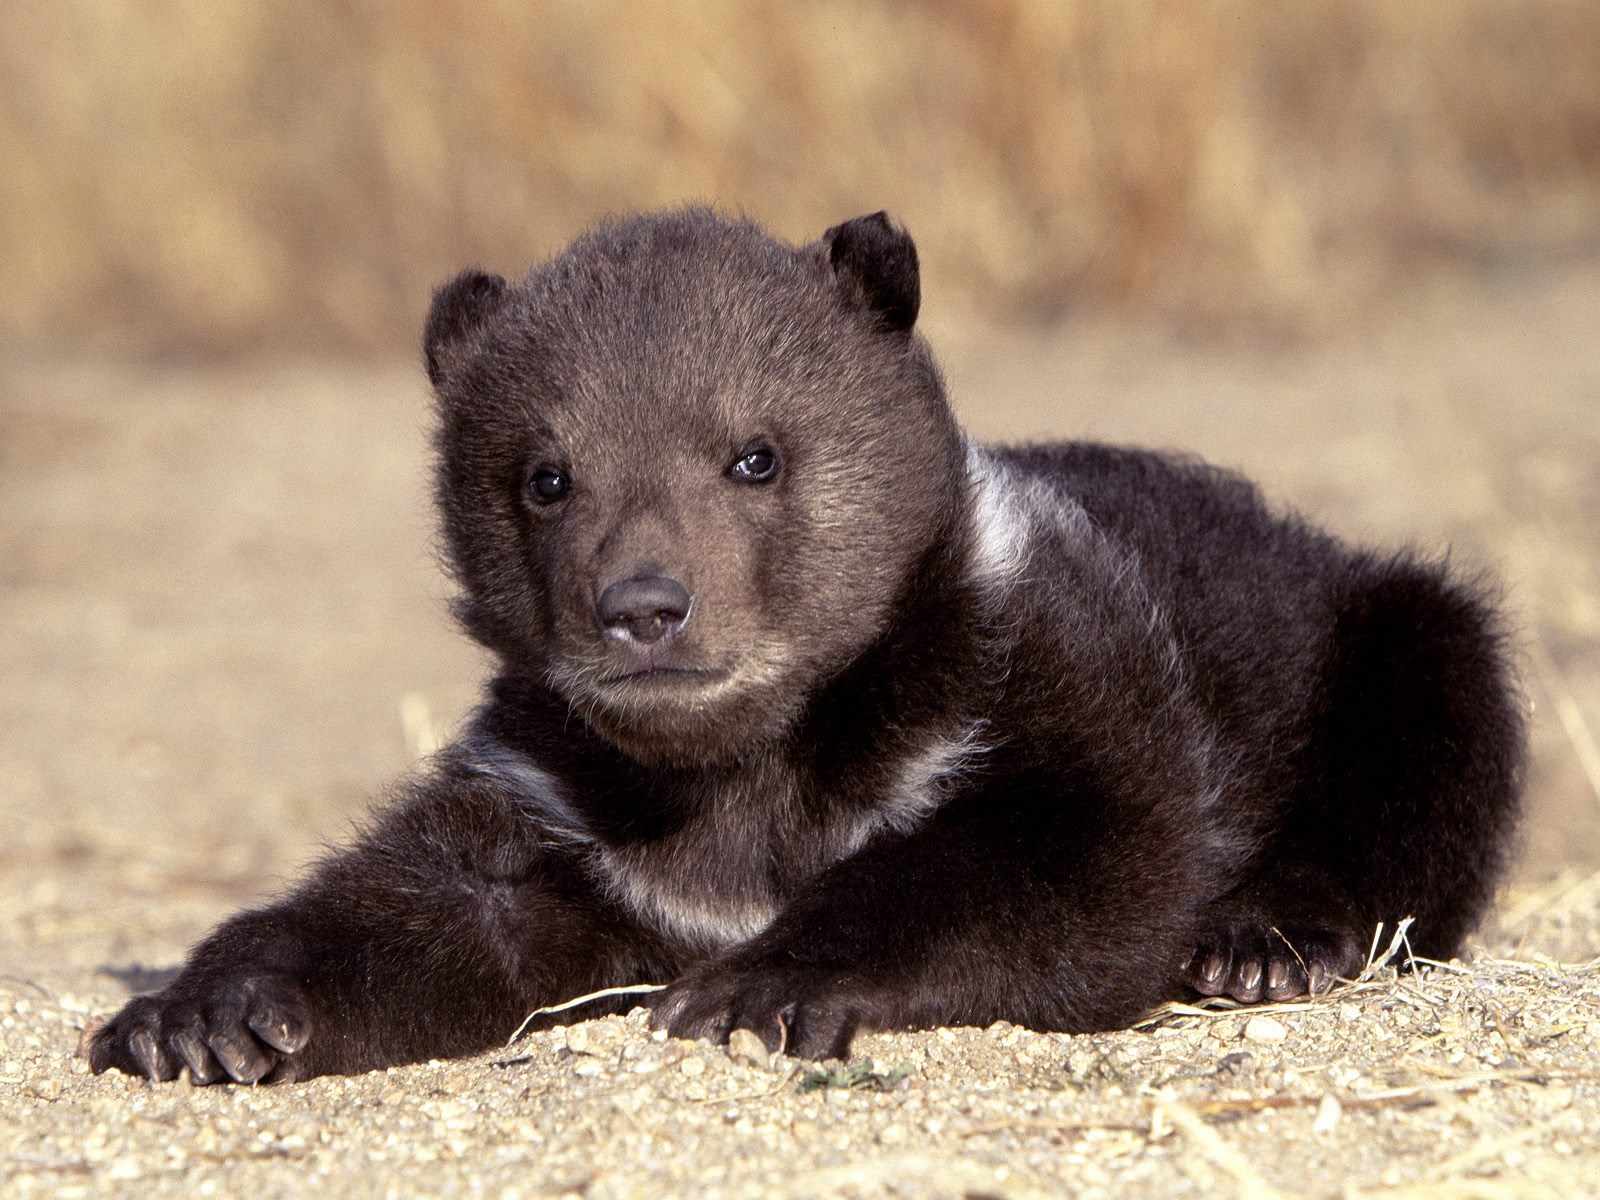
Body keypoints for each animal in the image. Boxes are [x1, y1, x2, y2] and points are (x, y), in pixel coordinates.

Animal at [88, 208, 1525, 1084]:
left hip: (1380, 631)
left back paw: (1263, 939)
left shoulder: (1055, 682)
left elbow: (1062, 860)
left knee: (1432, 744)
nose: (645, 606)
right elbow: (430, 905)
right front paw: (206, 1011)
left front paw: (755, 986)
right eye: (545, 475)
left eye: (755, 454)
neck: (748, 767)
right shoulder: (562, 805)